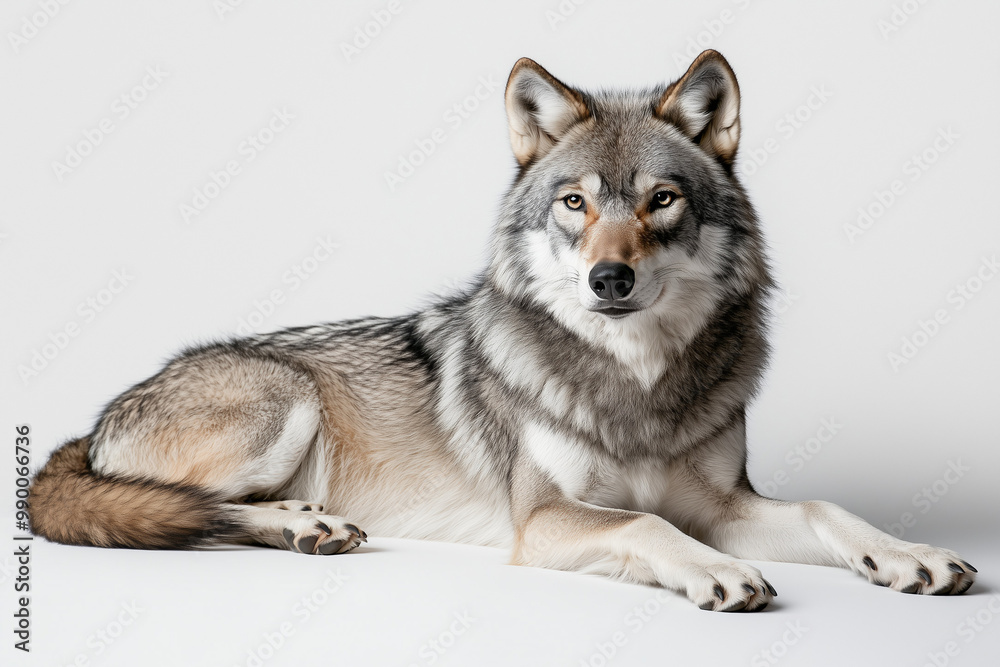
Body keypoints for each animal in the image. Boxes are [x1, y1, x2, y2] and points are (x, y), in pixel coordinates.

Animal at [30, 50, 976, 611]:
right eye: (575, 201)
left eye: (662, 200)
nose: (608, 278)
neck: (632, 381)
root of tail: (97, 417)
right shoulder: (545, 516)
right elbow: (645, 526)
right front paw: (715, 571)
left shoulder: (722, 503)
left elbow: (823, 507)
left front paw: (906, 554)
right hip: (285, 401)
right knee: (191, 507)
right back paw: (307, 524)